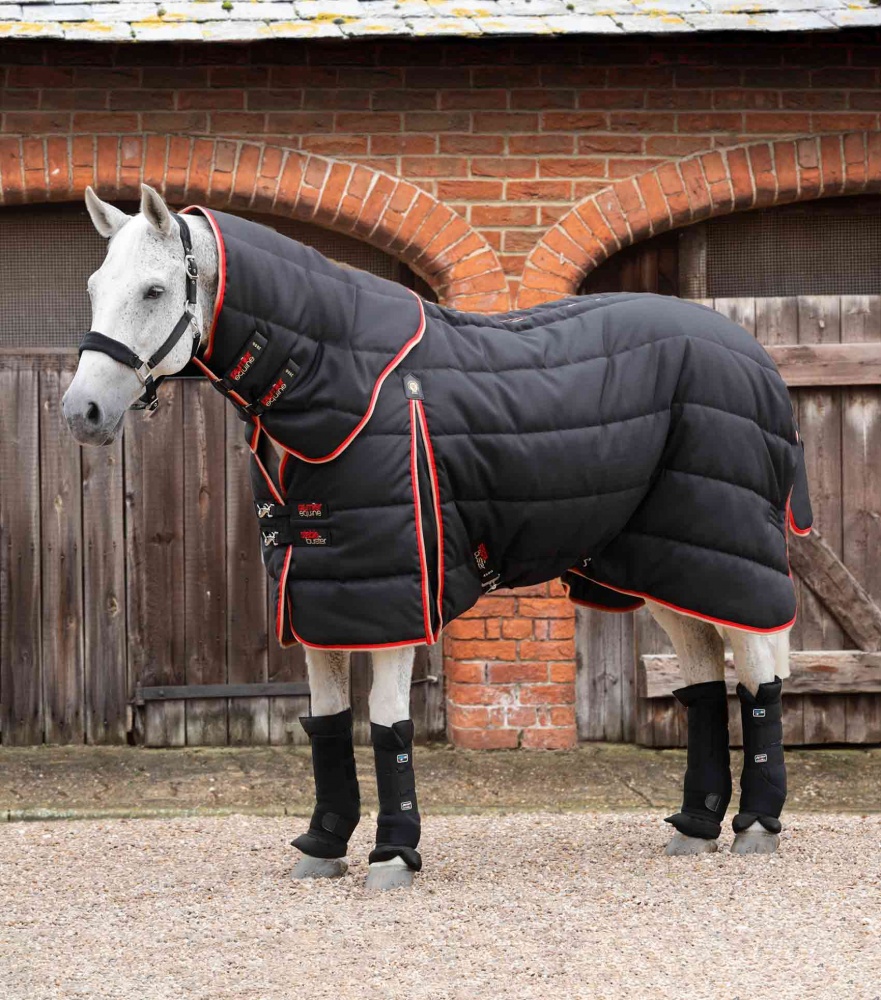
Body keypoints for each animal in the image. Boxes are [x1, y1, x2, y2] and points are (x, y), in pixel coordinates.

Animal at [63, 184, 809, 890]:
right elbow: (327, 723)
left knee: (760, 671)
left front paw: (393, 853)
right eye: (94, 287)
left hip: (724, 551)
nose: (82, 412)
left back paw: (756, 824)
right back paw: (697, 824)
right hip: (663, 563)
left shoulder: (394, 593)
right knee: (703, 677)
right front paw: (324, 844)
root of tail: (755, 356)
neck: (341, 377)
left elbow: (387, 722)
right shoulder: (314, 591)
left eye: (154, 290)